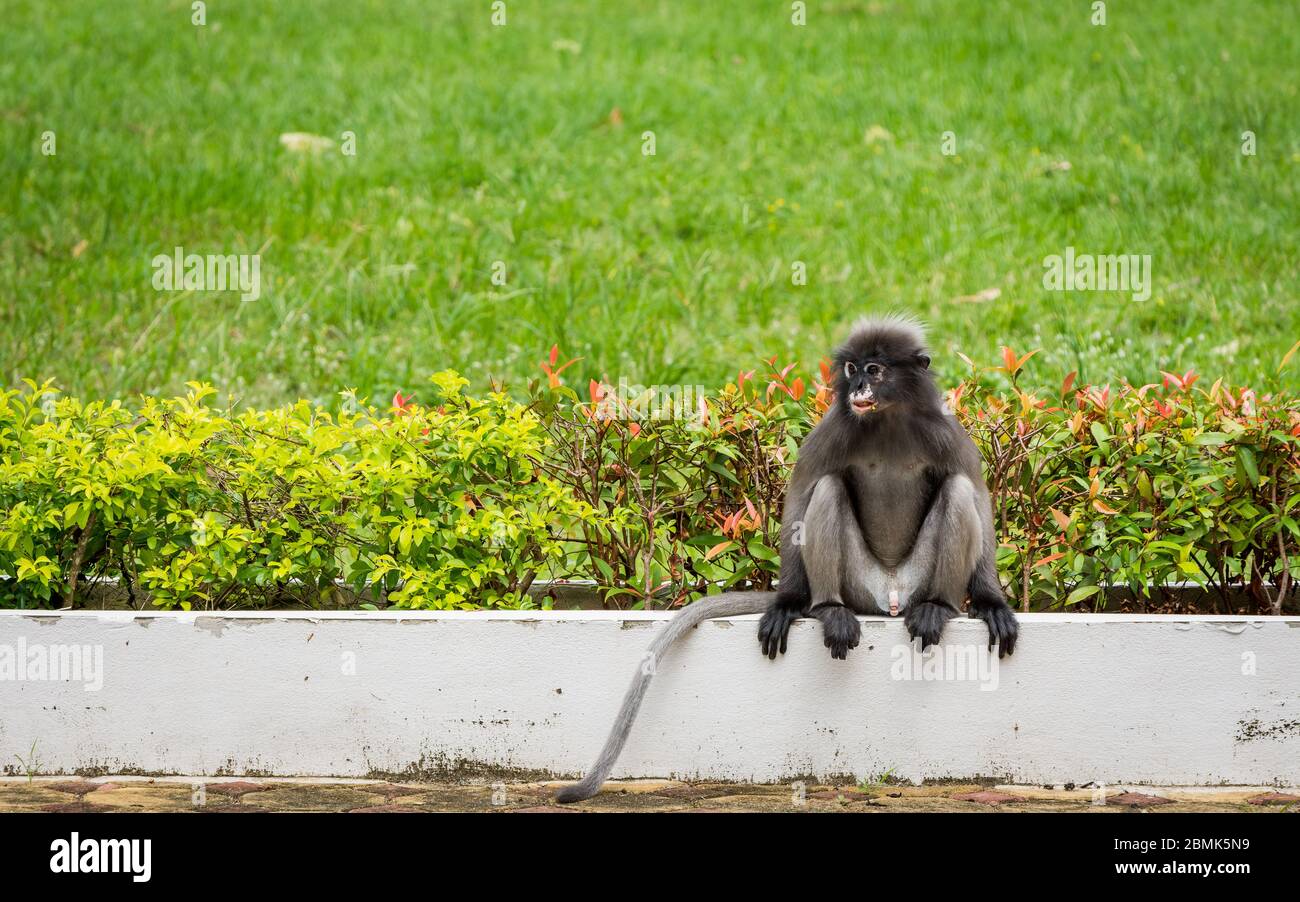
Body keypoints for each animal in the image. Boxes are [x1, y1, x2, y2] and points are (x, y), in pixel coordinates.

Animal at [554, 317, 1017, 803]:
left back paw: (938, 608)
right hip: (859, 584)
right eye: (852, 367)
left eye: (874, 369)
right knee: (829, 488)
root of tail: (891, 595)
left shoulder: (947, 432)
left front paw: (991, 603)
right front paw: (787, 603)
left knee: (957, 491)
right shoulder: (834, 428)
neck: (887, 417)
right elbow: (800, 497)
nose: (857, 386)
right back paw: (827, 609)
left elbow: (977, 496)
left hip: (916, 578)